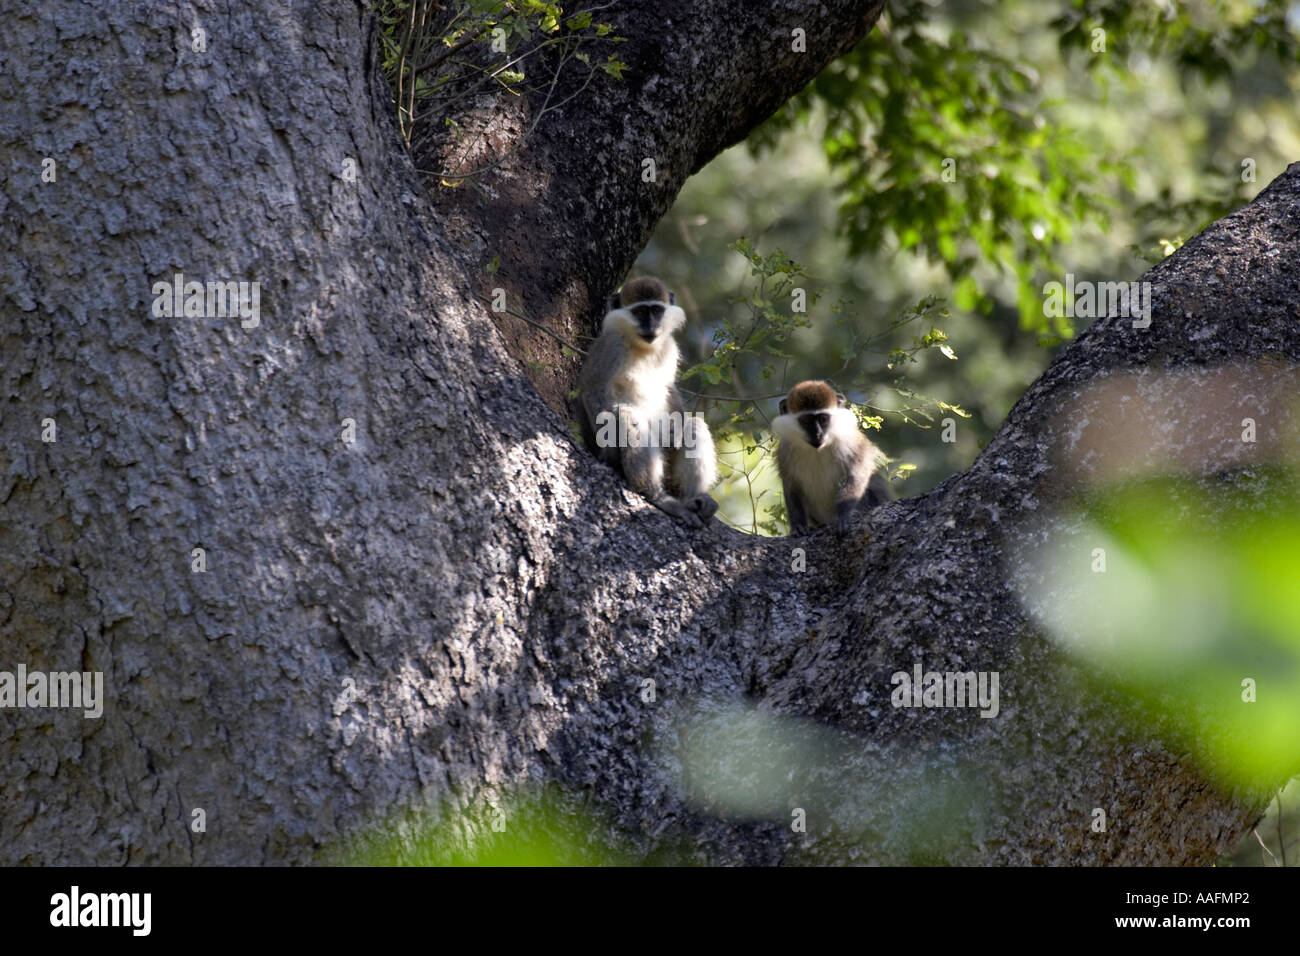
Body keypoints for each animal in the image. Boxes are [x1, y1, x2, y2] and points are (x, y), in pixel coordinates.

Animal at [576, 276, 718, 526]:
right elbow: (593, 390)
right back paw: (655, 495)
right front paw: (610, 454)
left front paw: (678, 424)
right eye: (641, 312)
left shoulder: (670, 347)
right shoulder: (610, 345)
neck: (644, 347)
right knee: (627, 415)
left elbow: (669, 388)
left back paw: (694, 499)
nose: (651, 327)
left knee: (695, 425)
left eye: (656, 311)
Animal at [773, 380, 891, 536]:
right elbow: (791, 485)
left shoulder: (850, 442)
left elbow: (858, 473)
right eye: (806, 421)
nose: (817, 434)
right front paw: (798, 525)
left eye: (823, 419)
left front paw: (843, 514)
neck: (817, 450)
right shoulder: (785, 450)